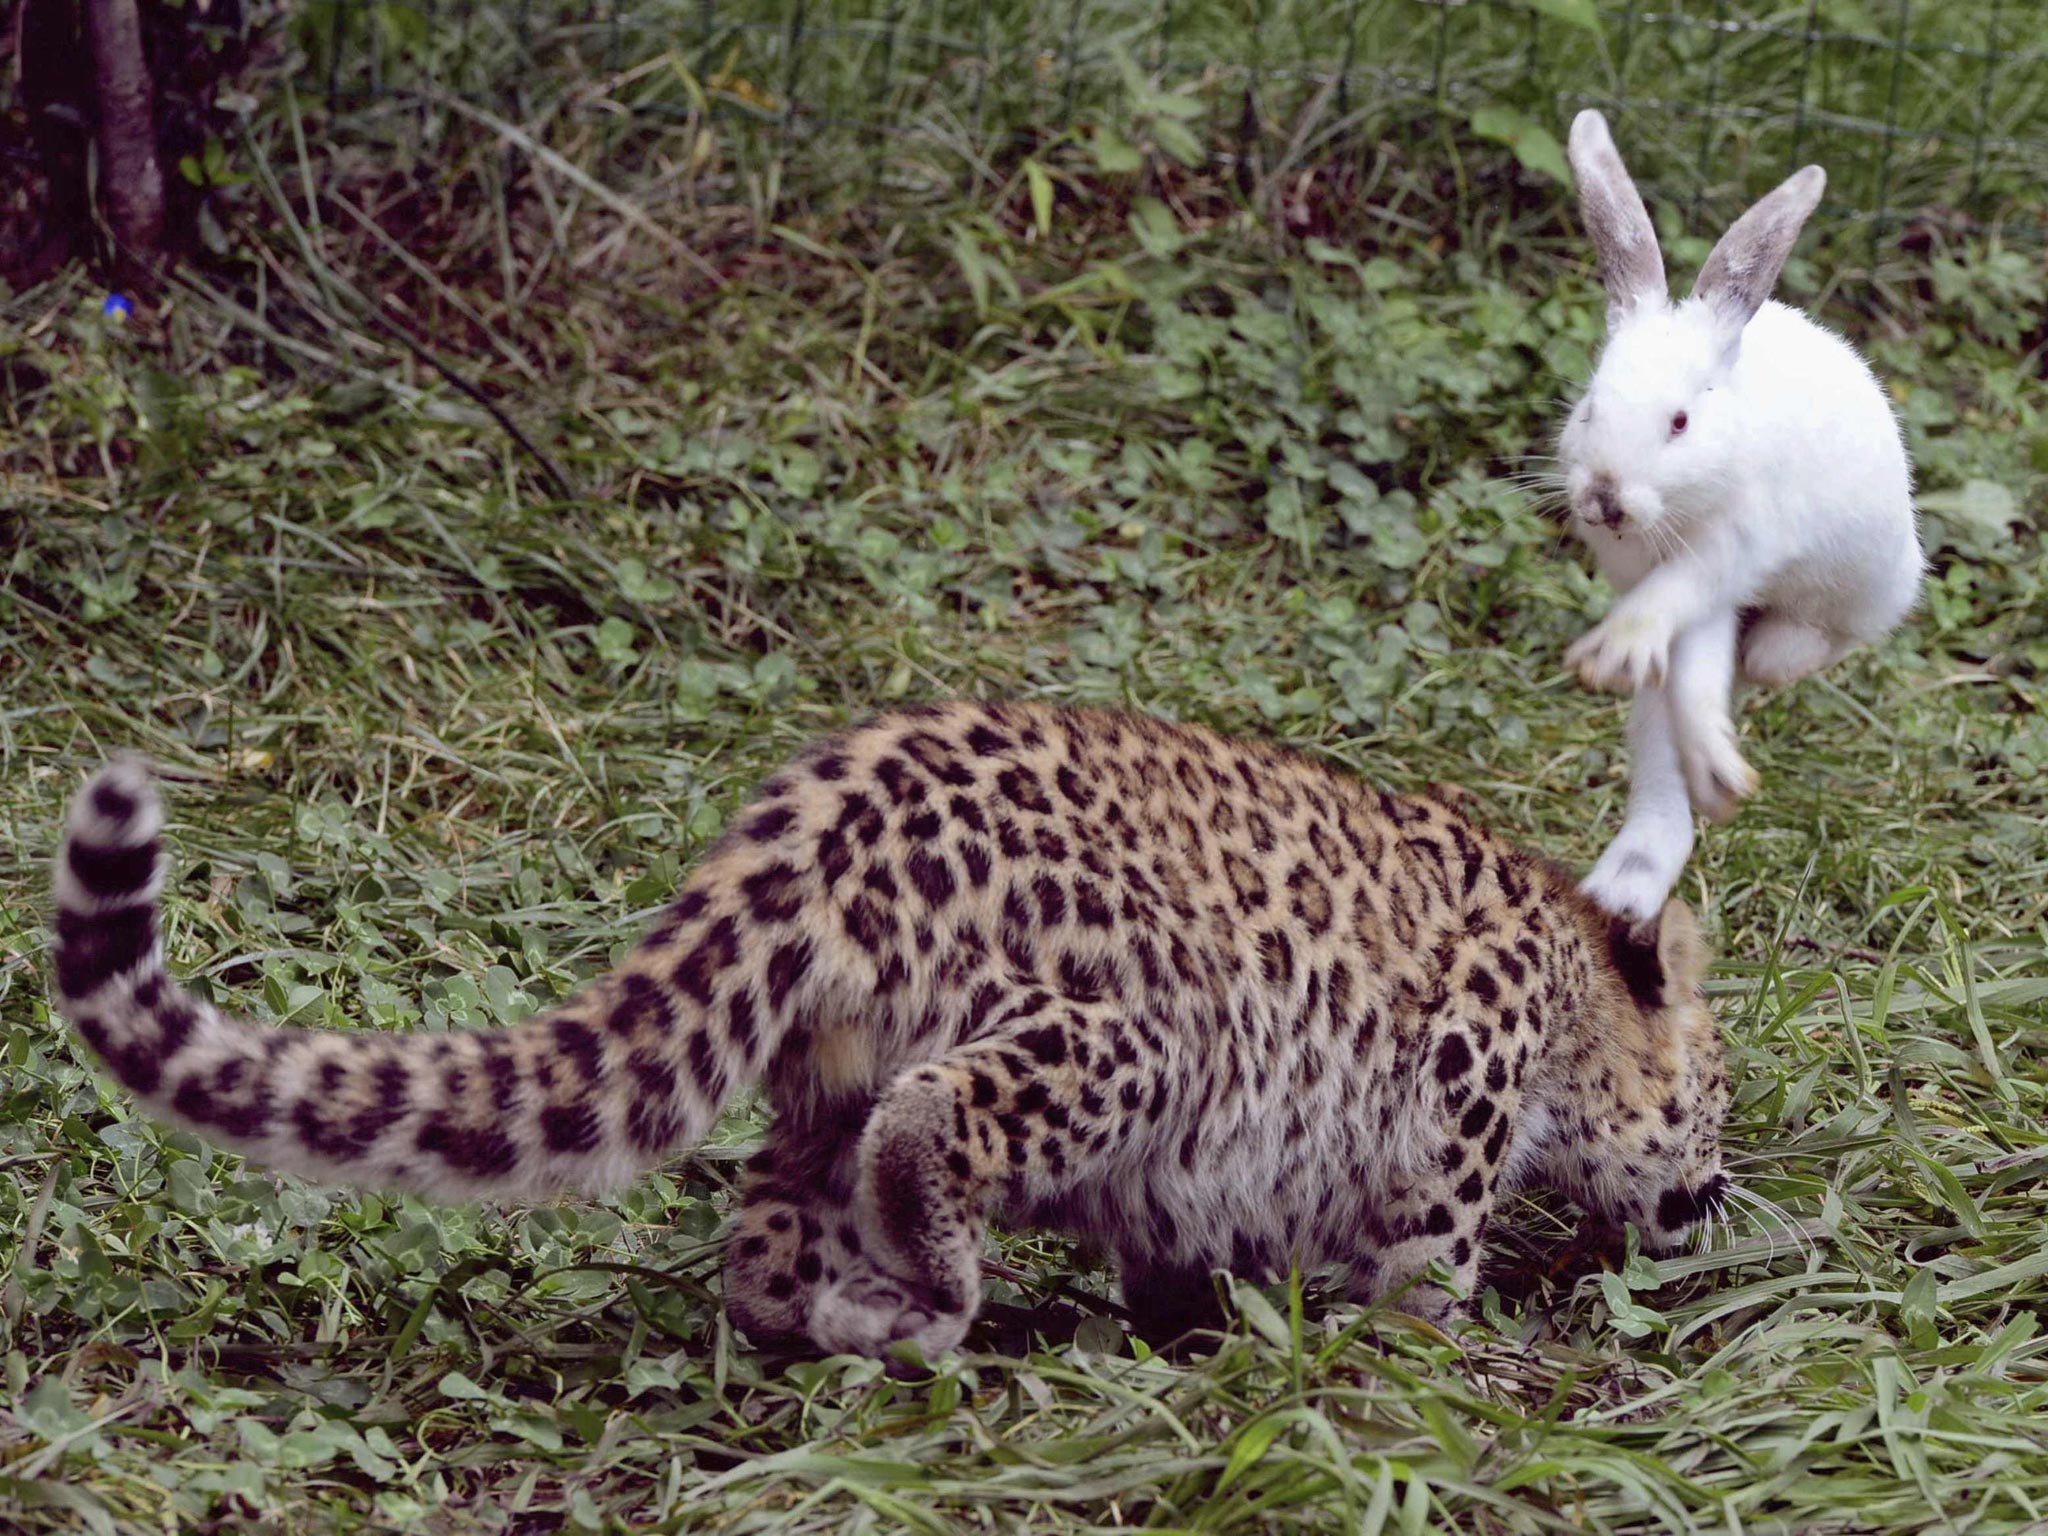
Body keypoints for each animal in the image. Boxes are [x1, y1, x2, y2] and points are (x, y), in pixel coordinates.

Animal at [1557, 110, 1924, 925]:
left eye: (1680, 422)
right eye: (1589, 406)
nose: (1605, 497)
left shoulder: (1731, 550)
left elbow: (1676, 606)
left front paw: (1613, 654)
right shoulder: (1670, 584)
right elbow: (1684, 662)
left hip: (1860, 588)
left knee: (1806, 646)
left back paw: (1761, 669)